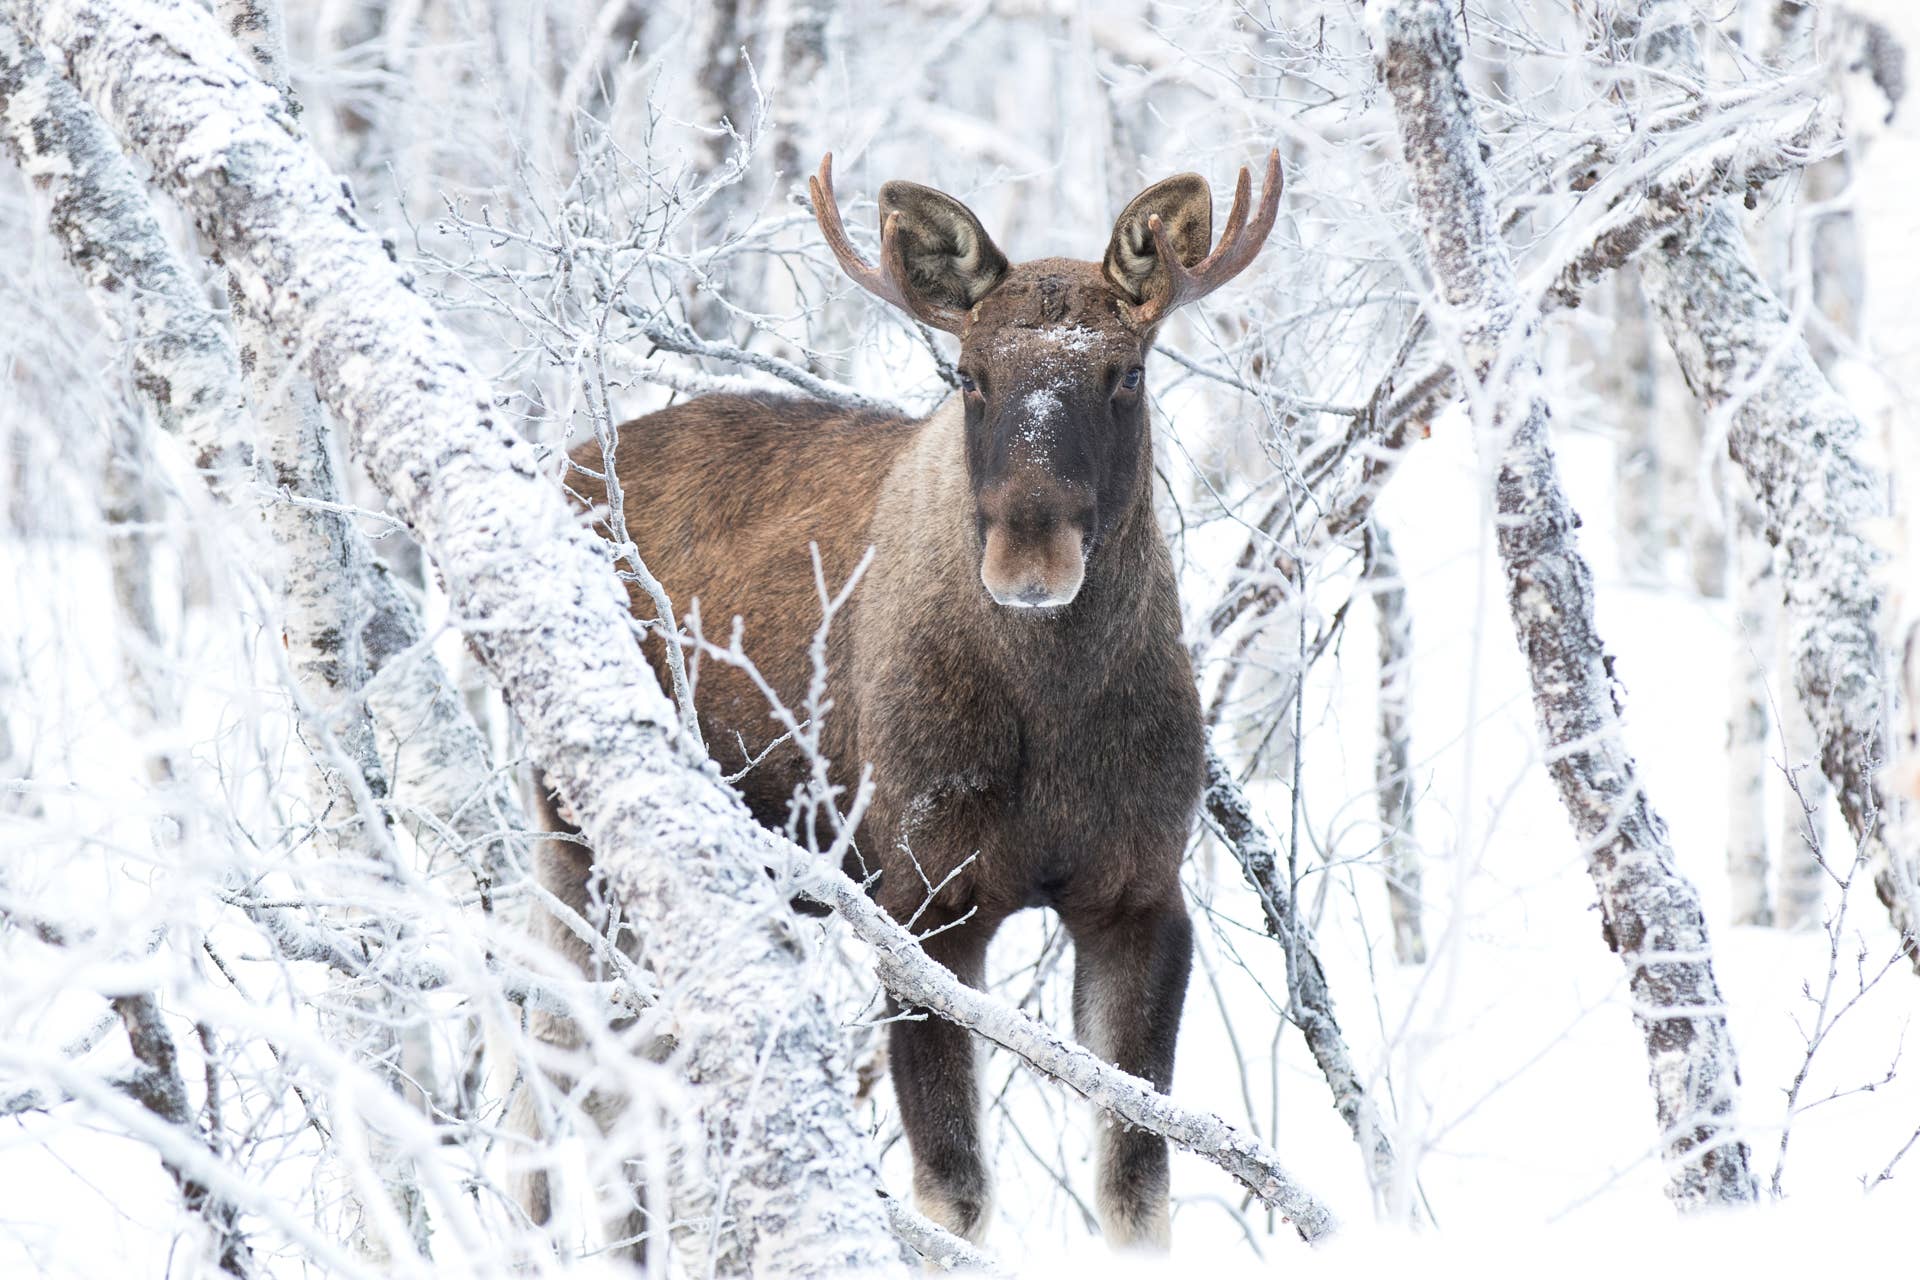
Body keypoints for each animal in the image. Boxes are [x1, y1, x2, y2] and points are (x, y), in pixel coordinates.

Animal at [531, 151, 1281, 1253]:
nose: (1028, 562)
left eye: (1128, 373)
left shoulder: (1141, 893)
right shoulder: (925, 902)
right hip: (576, 837)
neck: (1052, 717)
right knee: (565, 1068)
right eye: (968, 375)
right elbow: (954, 1194)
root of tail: (565, 463)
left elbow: (1134, 1191)